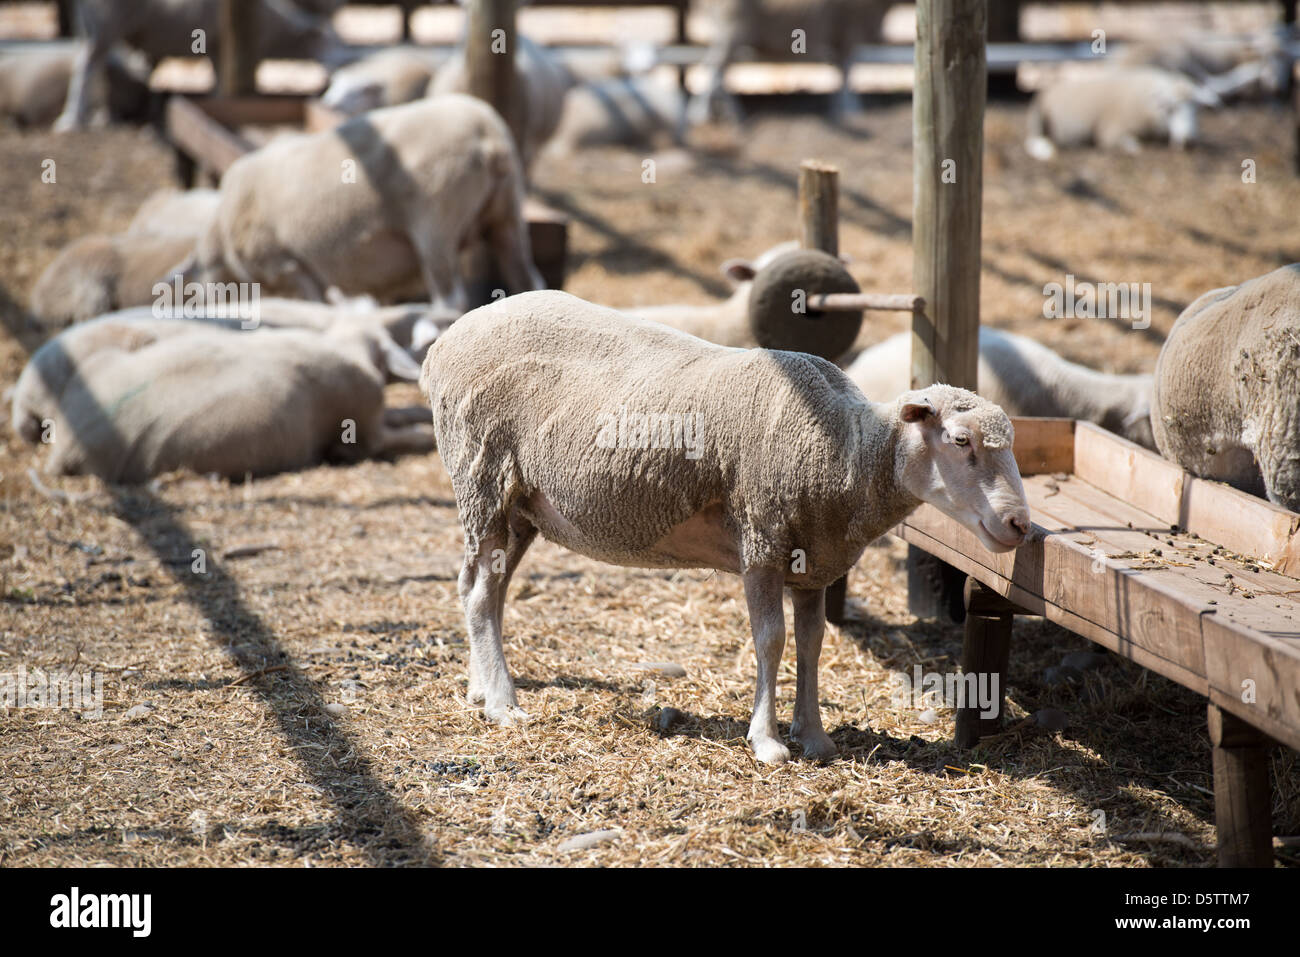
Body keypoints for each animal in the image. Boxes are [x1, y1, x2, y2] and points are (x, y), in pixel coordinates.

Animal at [55, 0, 345, 131]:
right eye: (328, 41)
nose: (339, 63)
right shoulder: (218, 45)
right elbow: (218, 84)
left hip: (91, 27)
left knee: (96, 69)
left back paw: (100, 117)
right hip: (106, 25)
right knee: (86, 67)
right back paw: (72, 120)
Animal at [174, 94, 544, 321]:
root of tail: (488, 135)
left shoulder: (286, 265)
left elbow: (314, 306)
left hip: (436, 222)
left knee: (450, 299)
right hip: (507, 215)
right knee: (527, 277)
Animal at [421, 290, 1030, 764]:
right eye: (960, 441)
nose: (1018, 523)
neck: (844, 450)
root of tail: (445, 342)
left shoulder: (816, 560)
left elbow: (812, 642)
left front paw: (814, 736)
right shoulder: (762, 540)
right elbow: (771, 640)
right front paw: (767, 741)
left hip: (520, 506)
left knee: (482, 588)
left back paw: (480, 687)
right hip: (482, 478)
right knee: (480, 596)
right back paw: (503, 704)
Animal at [688, 0, 892, 125]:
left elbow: (840, 70)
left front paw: (840, 108)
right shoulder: (850, 32)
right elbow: (846, 71)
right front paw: (851, 109)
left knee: (719, 70)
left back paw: (727, 113)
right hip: (731, 31)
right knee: (713, 66)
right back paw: (701, 115)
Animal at [1024, 67, 1220, 160]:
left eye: (1198, 108)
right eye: (1170, 108)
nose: (1189, 141)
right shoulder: (1111, 133)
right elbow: (1134, 146)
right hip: (1038, 119)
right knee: (1033, 140)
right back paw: (1045, 151)